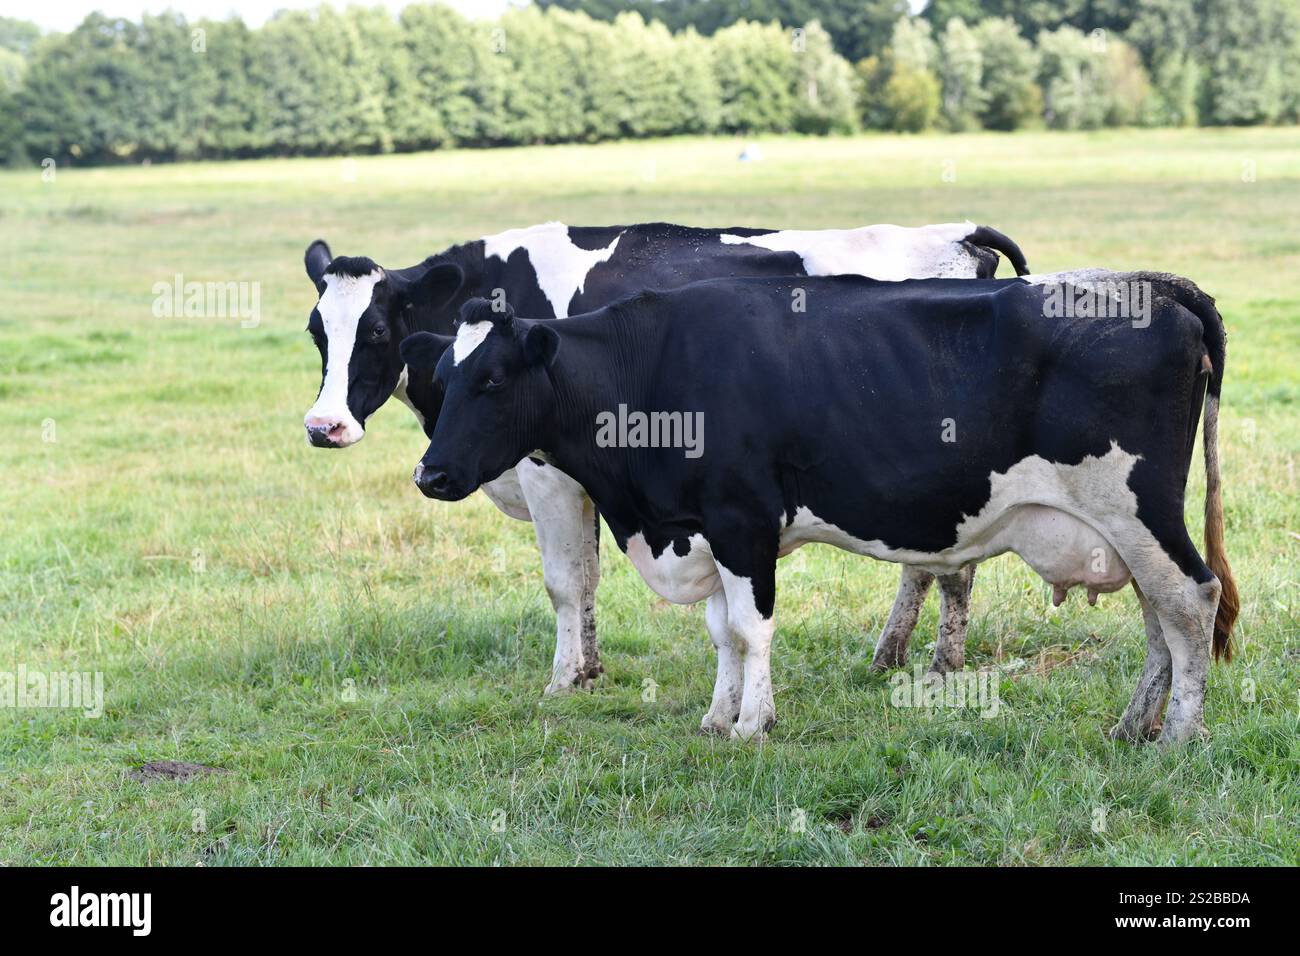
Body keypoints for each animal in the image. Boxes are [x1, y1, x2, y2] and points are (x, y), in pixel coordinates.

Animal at [302, 220, 1031, 694]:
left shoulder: (547, 471)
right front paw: (590, 668)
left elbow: (564, 580)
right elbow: (587, 578)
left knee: (949, 568)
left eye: (376, 330)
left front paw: (563, 680)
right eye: (316, 331)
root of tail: (957, 235)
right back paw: (893, 655)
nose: (323, 425)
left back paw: (936, 662)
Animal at [404, 270, 1238, 746]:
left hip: (1138, 507)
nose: (430, 473)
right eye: (442, 379)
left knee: (1190, 600)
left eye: (493, 380)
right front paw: (718, 716)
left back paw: (1179, 735)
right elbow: (722, 634)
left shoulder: (742, 520)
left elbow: (751, 628)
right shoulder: (705, 530)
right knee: (1159, 615)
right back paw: (1132, 726)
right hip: (1123, 527)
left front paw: (752, 724)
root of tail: (1164, 290)